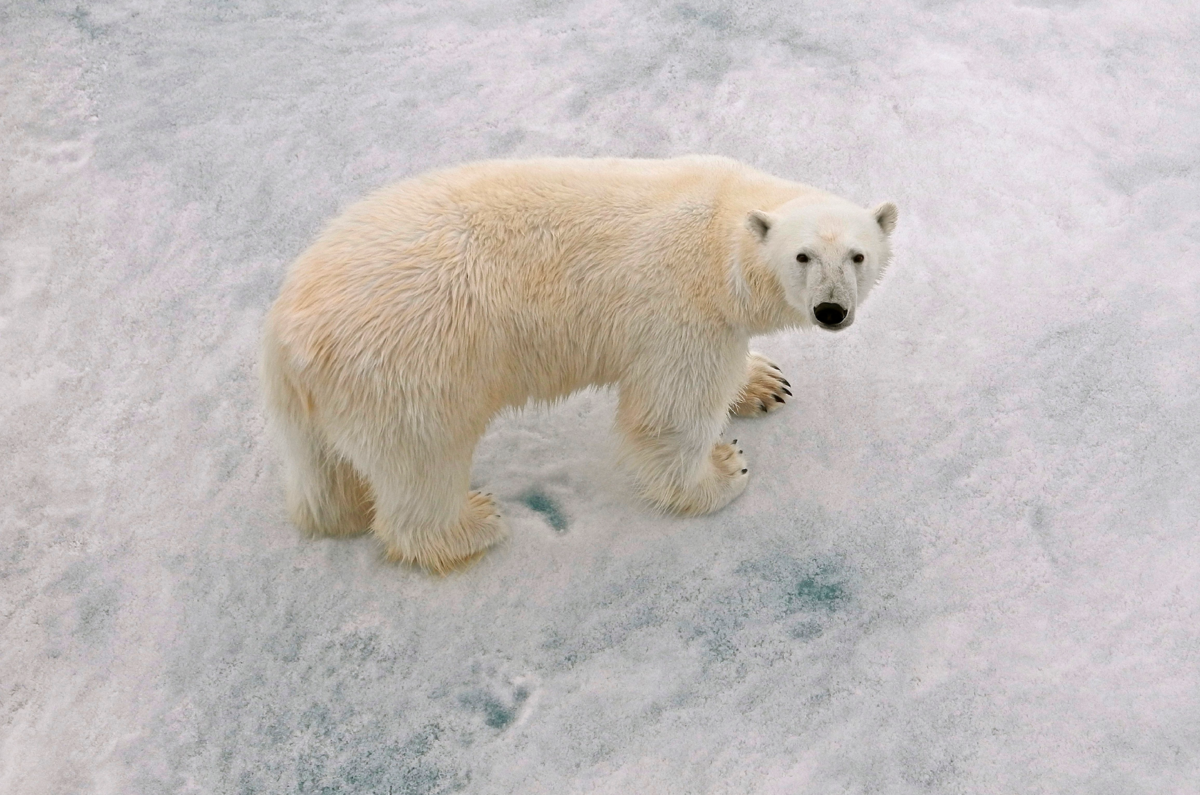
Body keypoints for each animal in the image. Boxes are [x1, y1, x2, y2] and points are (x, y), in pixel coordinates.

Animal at [265, 157, 902, 574]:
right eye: (802, 256)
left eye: (857, 255)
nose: (830, 309)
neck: (717, 230)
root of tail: (287, 335)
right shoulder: (681, 314)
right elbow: (669, 414)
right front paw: (724, 469)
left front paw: (766, 383)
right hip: (413, 367)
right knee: (423, 462)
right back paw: (474, 523)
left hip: (330, 394)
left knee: (324, 470)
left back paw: (341, 512)